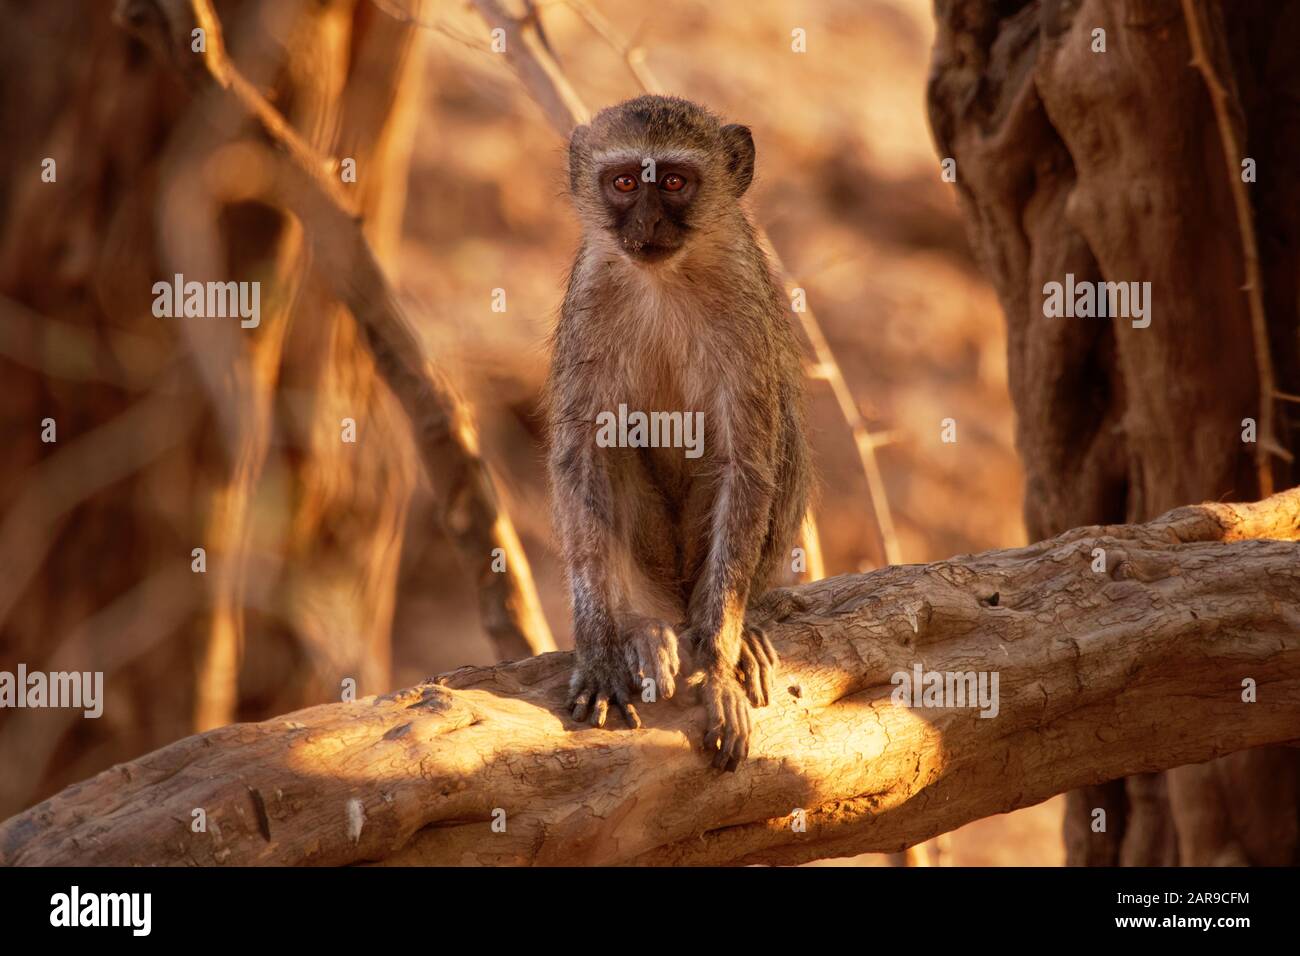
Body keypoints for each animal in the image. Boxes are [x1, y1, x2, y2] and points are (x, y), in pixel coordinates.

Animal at [545, 95, 812, 771]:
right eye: (622, 183)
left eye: (671, 182)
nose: (645, 227)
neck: (664, 279)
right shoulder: (591, 295)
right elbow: (582, 455)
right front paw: (599, 650)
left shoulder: (743, 302)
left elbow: (746, 464)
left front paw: (716, 666)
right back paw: (642, 626)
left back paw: (738, 628)